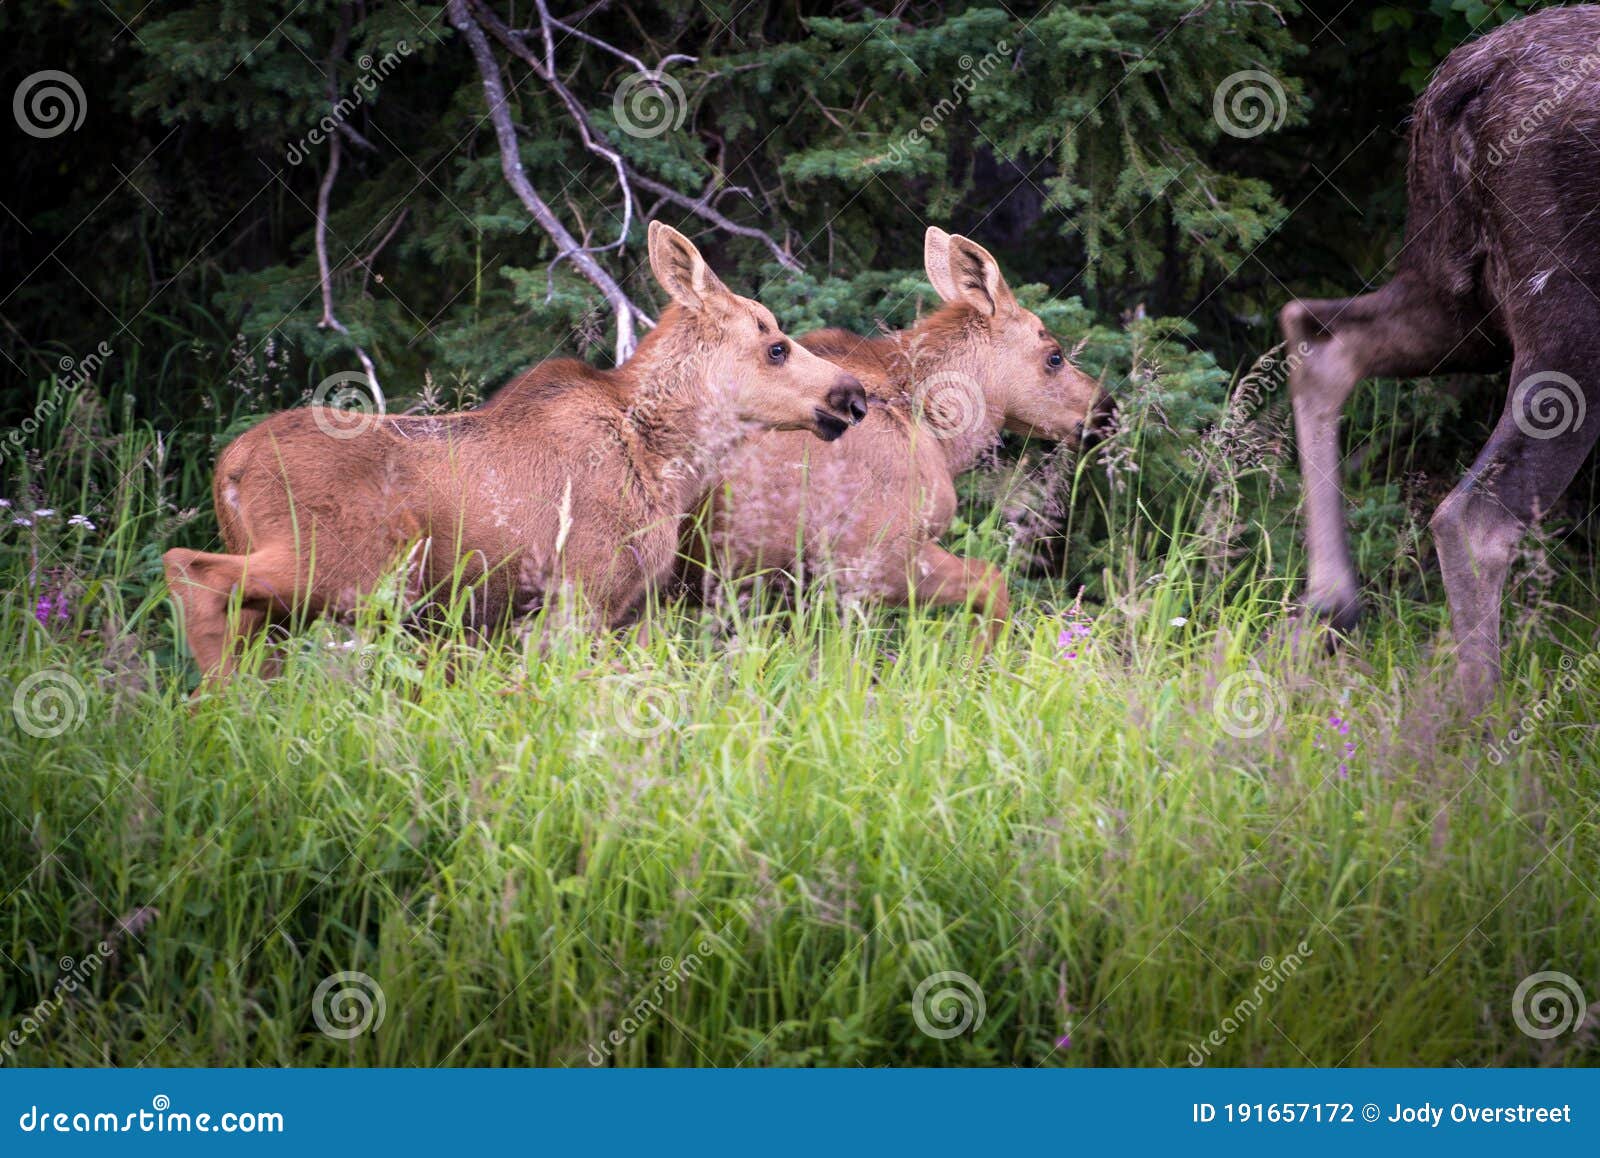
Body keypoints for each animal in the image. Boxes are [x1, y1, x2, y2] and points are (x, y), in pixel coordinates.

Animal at [163, 221, 868, 683]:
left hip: (301, 595)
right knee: (190, 569)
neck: (669, 467)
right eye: (775, 346)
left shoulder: (628, 608)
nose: (852, 395)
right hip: (343, 566)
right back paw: (225, 705)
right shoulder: (579, 591)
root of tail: (229, 469)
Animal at [1280, 5, 1600, 714]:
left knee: (1318, 332)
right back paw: (1484, 723)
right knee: (1472, 518)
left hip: (1459, 289)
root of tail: (1466, 77)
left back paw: (1333, 604)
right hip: (1568, 315)